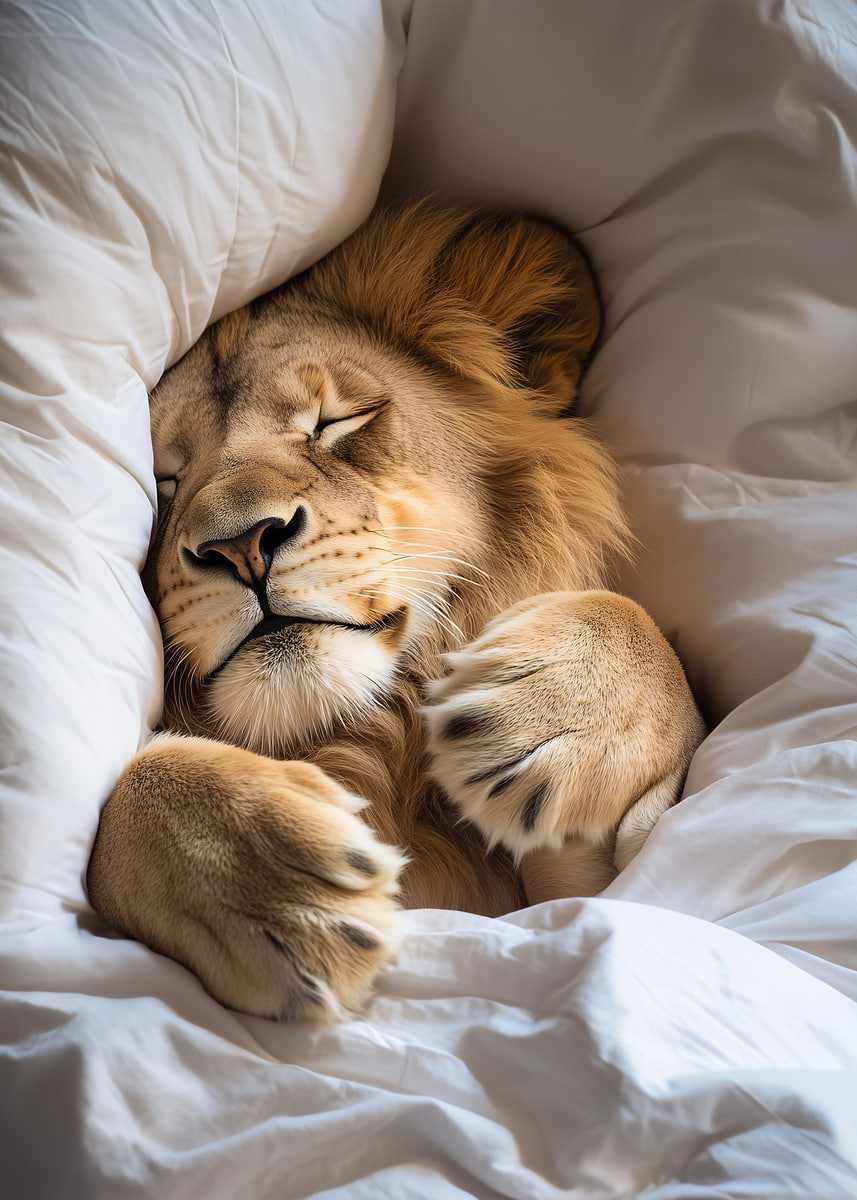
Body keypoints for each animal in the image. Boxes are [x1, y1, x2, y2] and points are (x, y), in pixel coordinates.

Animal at [87, 201, 705, 1021]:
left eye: (336, 422)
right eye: (163, 479)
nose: (241, 546)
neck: (365, 747)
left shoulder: (588, 895)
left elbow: (632, 625)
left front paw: (541, 719)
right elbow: (121, 798)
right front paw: (281, 888)